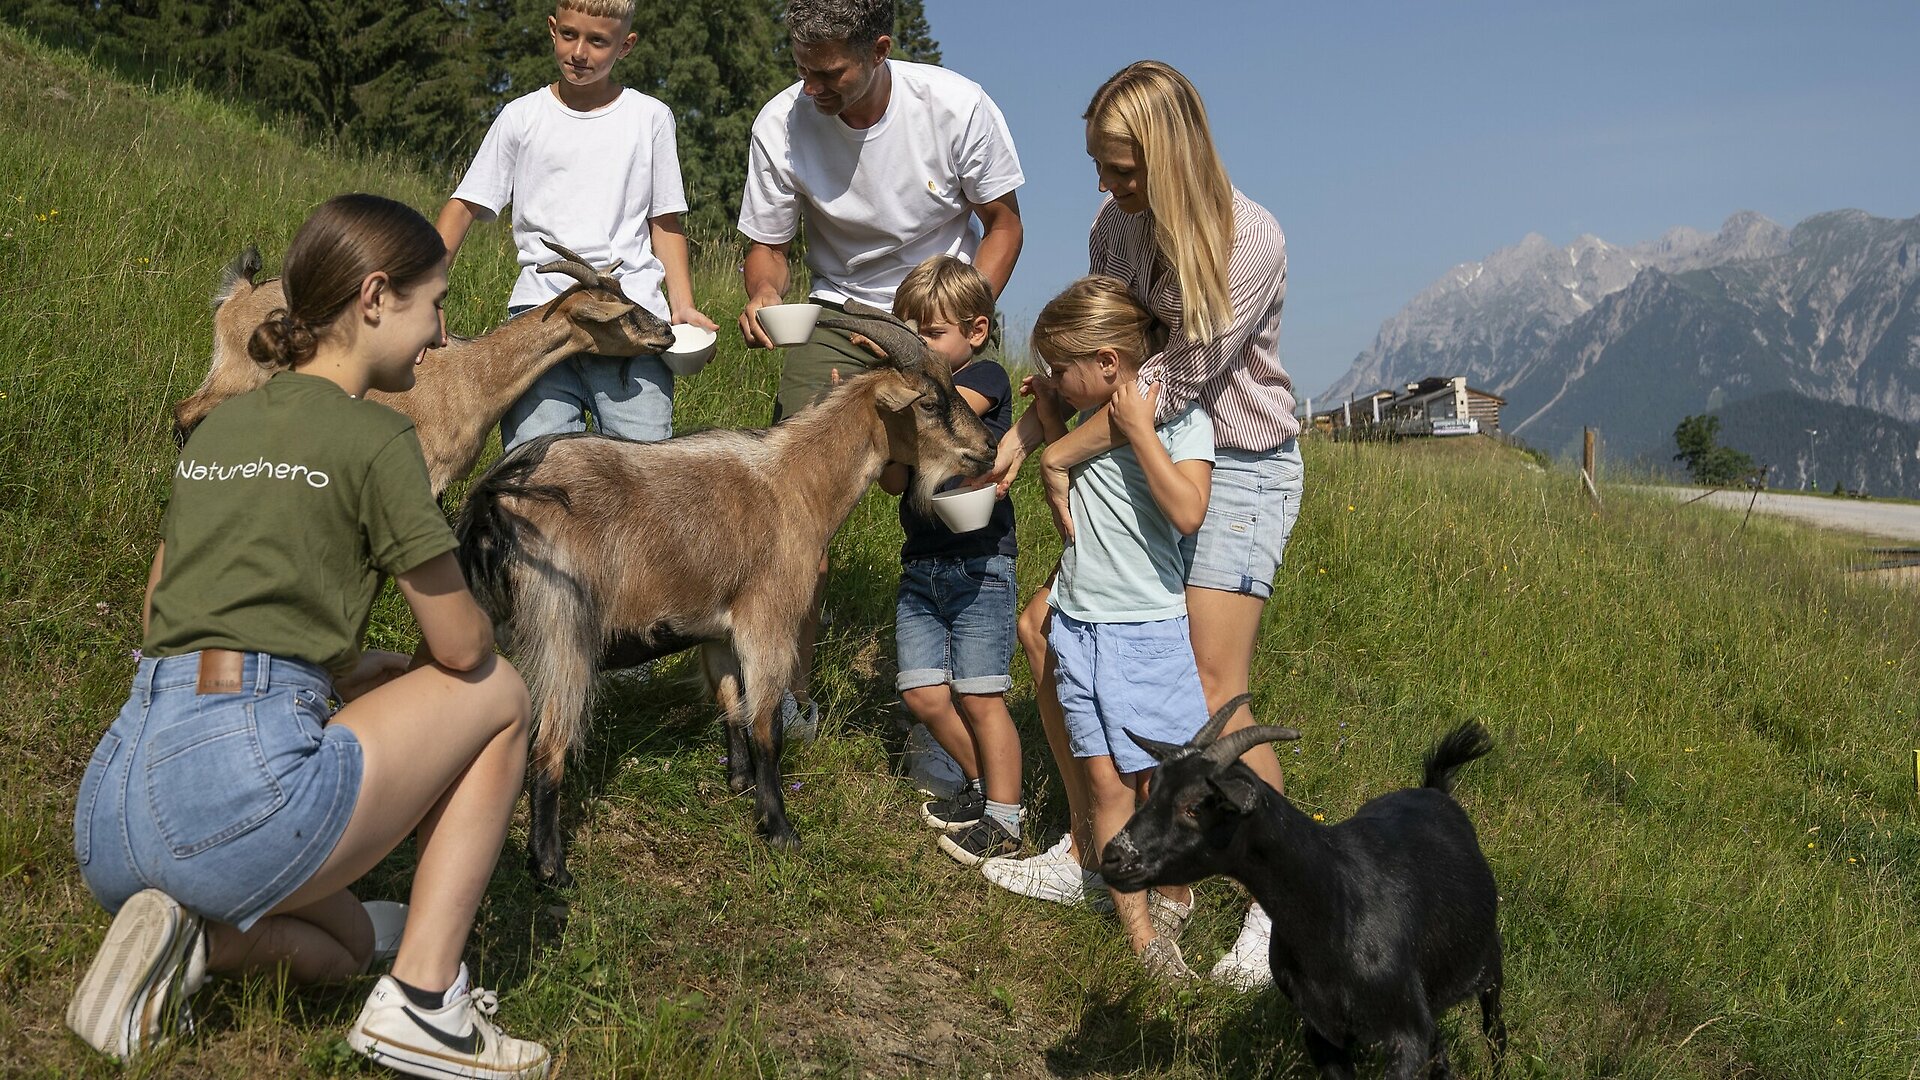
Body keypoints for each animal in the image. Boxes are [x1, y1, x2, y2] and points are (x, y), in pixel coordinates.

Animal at [174, 243, 673, 494]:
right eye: (622, 314)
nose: (666, 332)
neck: (475, 378)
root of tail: (239, 293)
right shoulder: (429, 470)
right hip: (237, 375)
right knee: (186, 411)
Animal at [455, 302, 995, 883]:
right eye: (931, 403)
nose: (987, 447)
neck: (797, 485)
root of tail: (495, 500)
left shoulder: (716, 629)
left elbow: (731, 704)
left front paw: (738, 783)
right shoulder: (768, 621)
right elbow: (765, 725)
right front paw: (779, 828)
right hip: (563, 632)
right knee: (549, 743)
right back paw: (551, 867)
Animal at [1102, 696, 1507, 1080]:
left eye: (1195, 806)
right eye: (1153, 788)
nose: (1111, 857)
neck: (1336, 905)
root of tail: (1436, 790)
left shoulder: (1406, 1035)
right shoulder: (1322, 1031)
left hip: (1486, 964)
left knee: (1494, 1028)